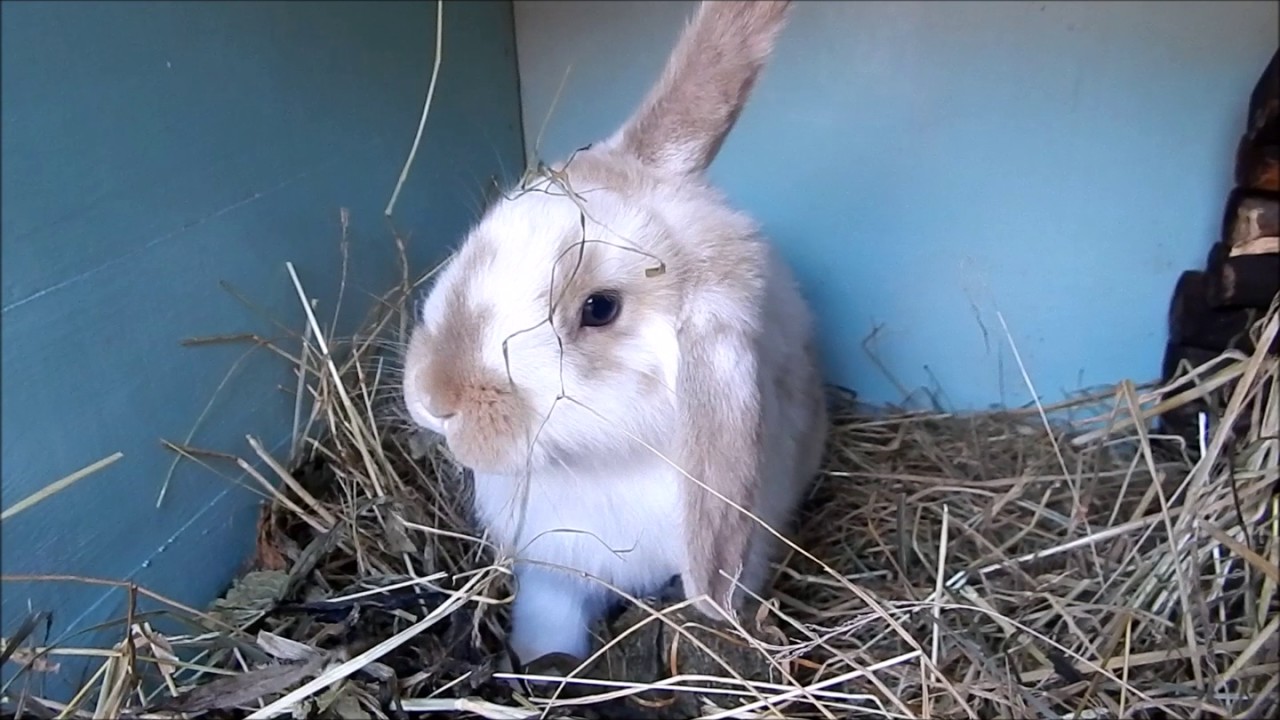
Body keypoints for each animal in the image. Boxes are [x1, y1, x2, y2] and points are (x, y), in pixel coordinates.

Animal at [401, 0, 826, 669]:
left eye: (599, 309)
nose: (434, 398)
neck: (602, 467)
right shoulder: (551, 574)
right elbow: (549, 623)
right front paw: (541, 665)